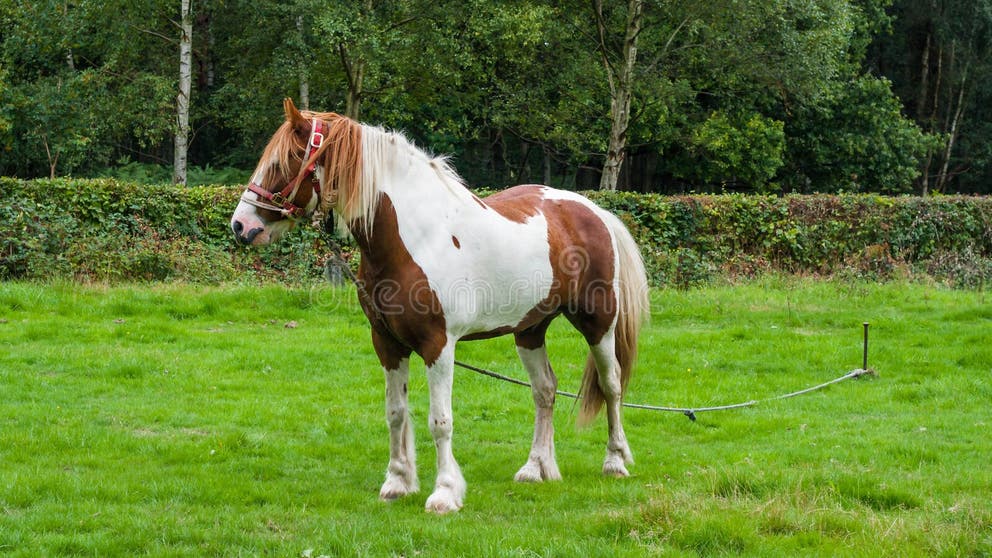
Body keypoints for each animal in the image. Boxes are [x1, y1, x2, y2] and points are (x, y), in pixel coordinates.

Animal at [230, 98, 650, 514]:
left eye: (283, 162)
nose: (240, 226)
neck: (414, 239)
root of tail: (594, 212)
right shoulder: (387, 344)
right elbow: (396, 414)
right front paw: (397, 482)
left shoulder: (439, 346)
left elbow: (440, 421)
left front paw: (445, 492)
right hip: (530, 330)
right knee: (544, 390)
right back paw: (536, 468)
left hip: (599, 324)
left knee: (611, 385)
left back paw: (615, 461)